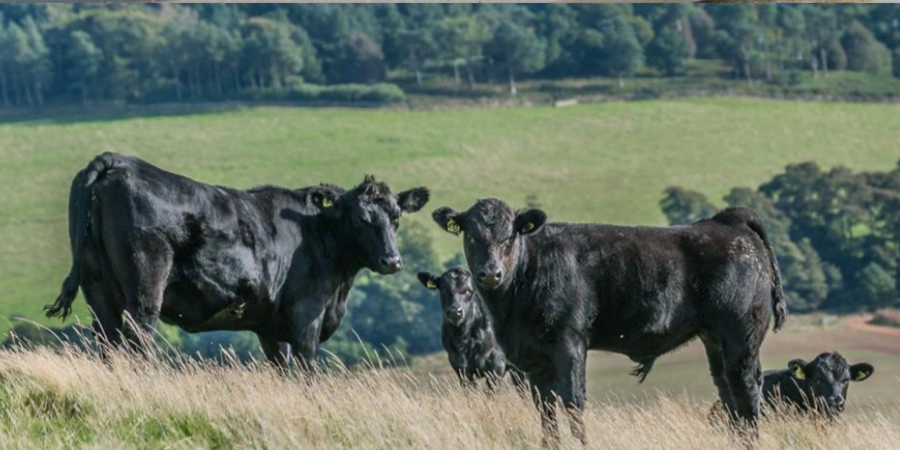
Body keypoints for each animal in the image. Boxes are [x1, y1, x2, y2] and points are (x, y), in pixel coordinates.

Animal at [45, 152, 429, 369]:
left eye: (396, 217)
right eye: (360, 220)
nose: (392, 260)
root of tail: (116, 160)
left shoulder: (270, 328)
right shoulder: (306, 319)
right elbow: (307, 372)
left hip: (97, 289)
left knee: (108, 343)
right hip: (144, 288)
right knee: (137, 342)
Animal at [432, 198, 786, 445]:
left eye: (509, 236)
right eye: (471, 236)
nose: (490, 273)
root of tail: (727, 221)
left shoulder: (570, 342)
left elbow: (573, 403)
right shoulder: (534, 361)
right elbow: (546, 410)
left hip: (741, 337)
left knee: (747, 390)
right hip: (714, 339)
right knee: (728, 392)